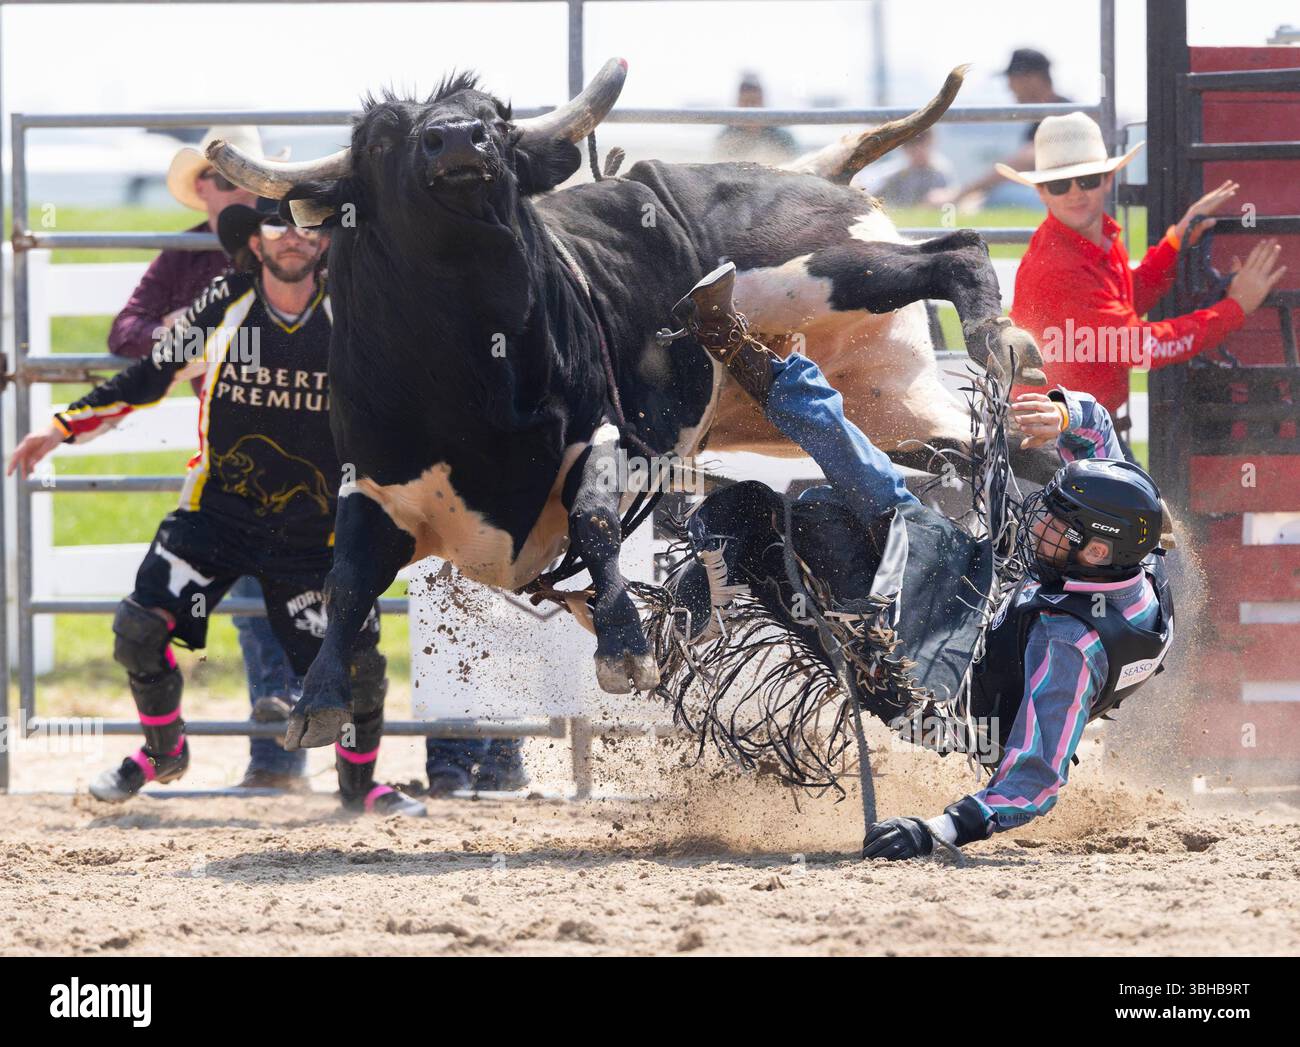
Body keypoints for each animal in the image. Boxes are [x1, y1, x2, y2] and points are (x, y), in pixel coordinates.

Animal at [207, 58, 1046, 750]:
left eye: (495, 119)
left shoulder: (610, 436)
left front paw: (624, 647)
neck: (472, 371)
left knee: (957, 252)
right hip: (887, 395)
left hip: (815, 271)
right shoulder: (376, 485)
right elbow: (347, 576)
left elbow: (595, 521)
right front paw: (317, 699)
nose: (457, 142)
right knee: (937, 447)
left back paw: (1002, 341)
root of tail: (814, 167)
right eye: (380, 141)